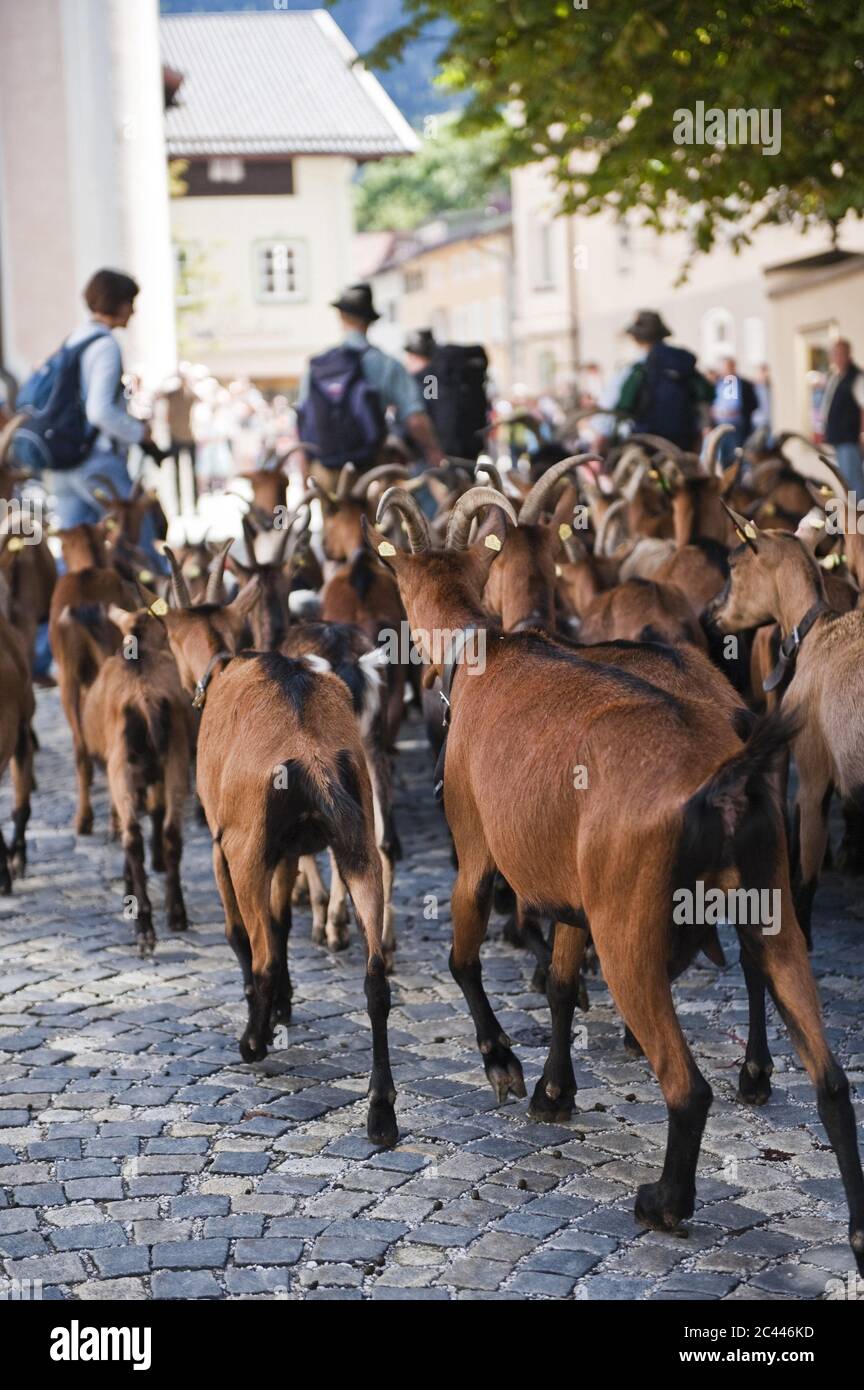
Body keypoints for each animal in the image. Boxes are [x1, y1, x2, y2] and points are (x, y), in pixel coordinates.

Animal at [365, 484, 864, 1270]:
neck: (488, 652)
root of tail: (725, 774)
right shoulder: (572, 896)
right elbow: (562, 984)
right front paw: (554, 1092)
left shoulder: (476, 853)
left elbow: (463, 959)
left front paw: (503, 1062)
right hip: (768, 907)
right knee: (831, 1078)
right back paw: (849, 1219)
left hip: (630, 929)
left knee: (687, 1087)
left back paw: (664, 1202)